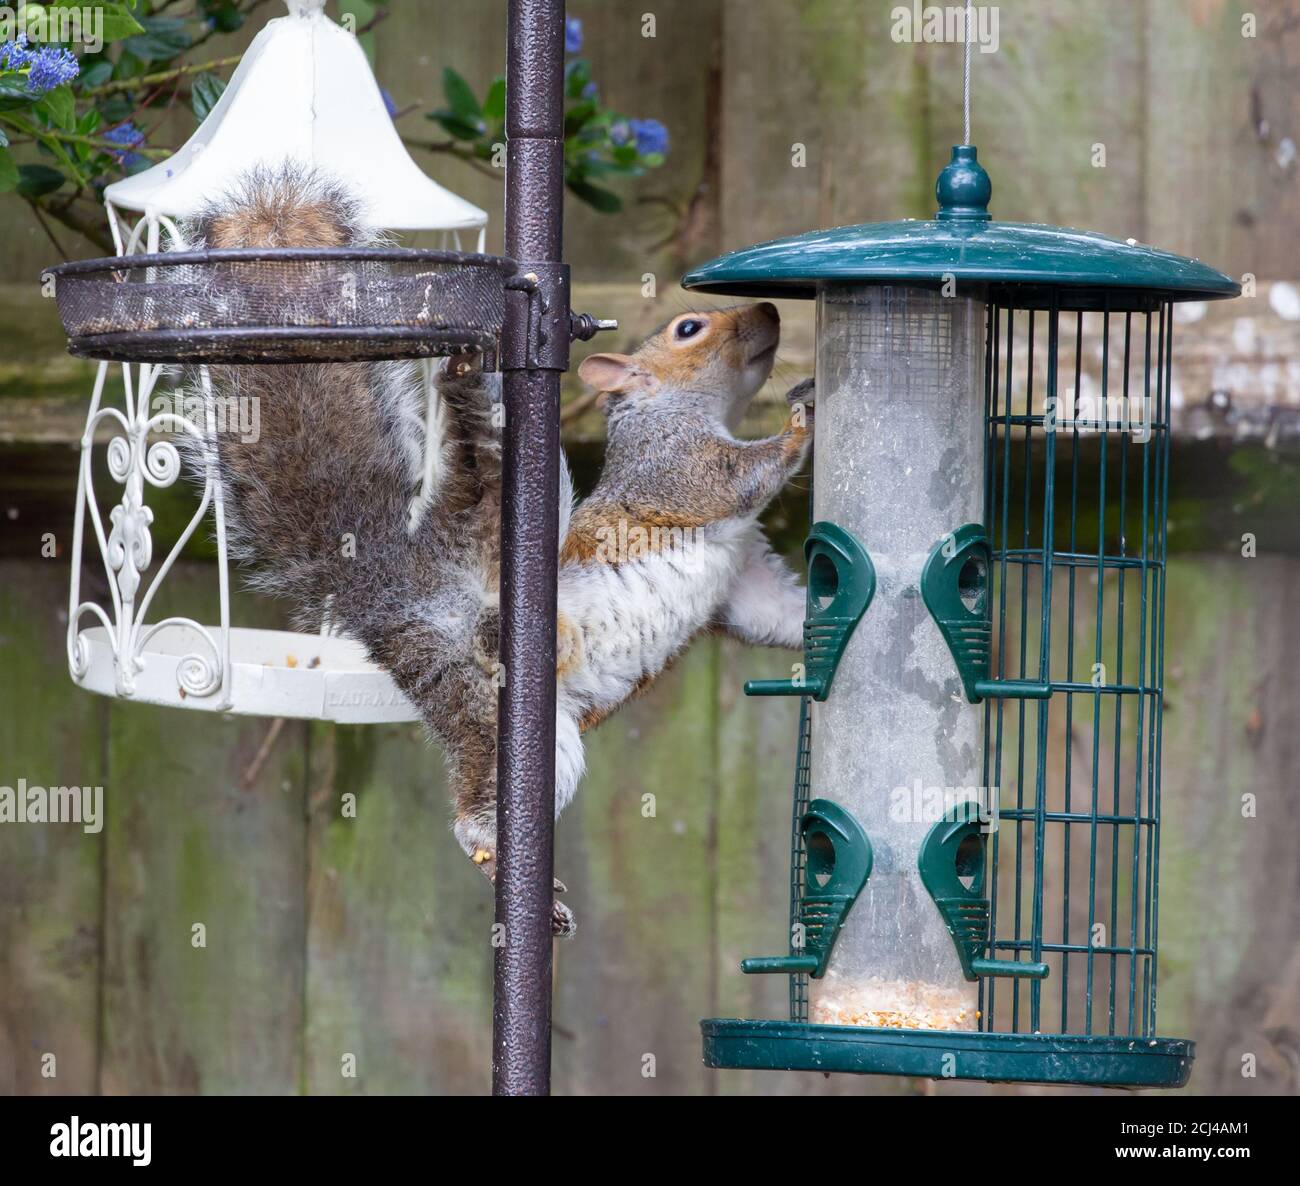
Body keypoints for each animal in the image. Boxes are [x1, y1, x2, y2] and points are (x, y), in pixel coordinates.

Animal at [186, 165, 813, 935]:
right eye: (688, 328)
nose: (772, 312)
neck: (696, 414)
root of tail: (405, 595)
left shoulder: (741, 579)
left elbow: (773, 614)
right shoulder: (671, 472)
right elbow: (734, 476)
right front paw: (801, 418)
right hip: (484, 683)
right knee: (470, 815)